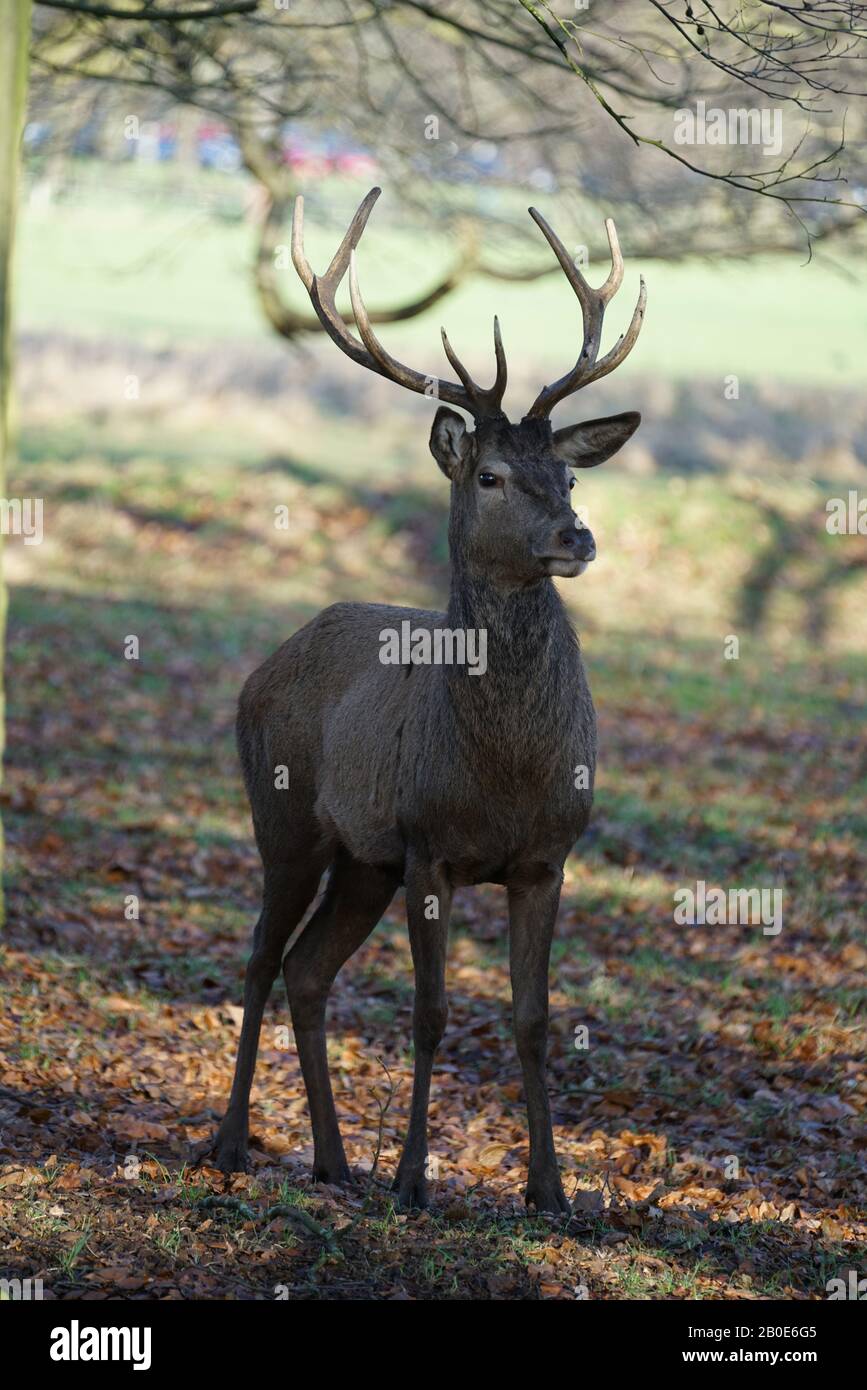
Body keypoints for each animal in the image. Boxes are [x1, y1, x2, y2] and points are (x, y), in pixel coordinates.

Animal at [204, 188, 646, 1213]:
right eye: (490, 475)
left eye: (569, 473)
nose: (575, 536)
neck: (504, 773)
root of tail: (268, 662)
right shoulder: (427, 845)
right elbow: (432, 1012)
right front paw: (412, 1179)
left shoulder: (547, 857)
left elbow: (531, 1018)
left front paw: (550, 1191)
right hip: (285, 817)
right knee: (259, 958)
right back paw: (234, 1143)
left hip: (361, 860)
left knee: (308, 971)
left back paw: (330, 1160)